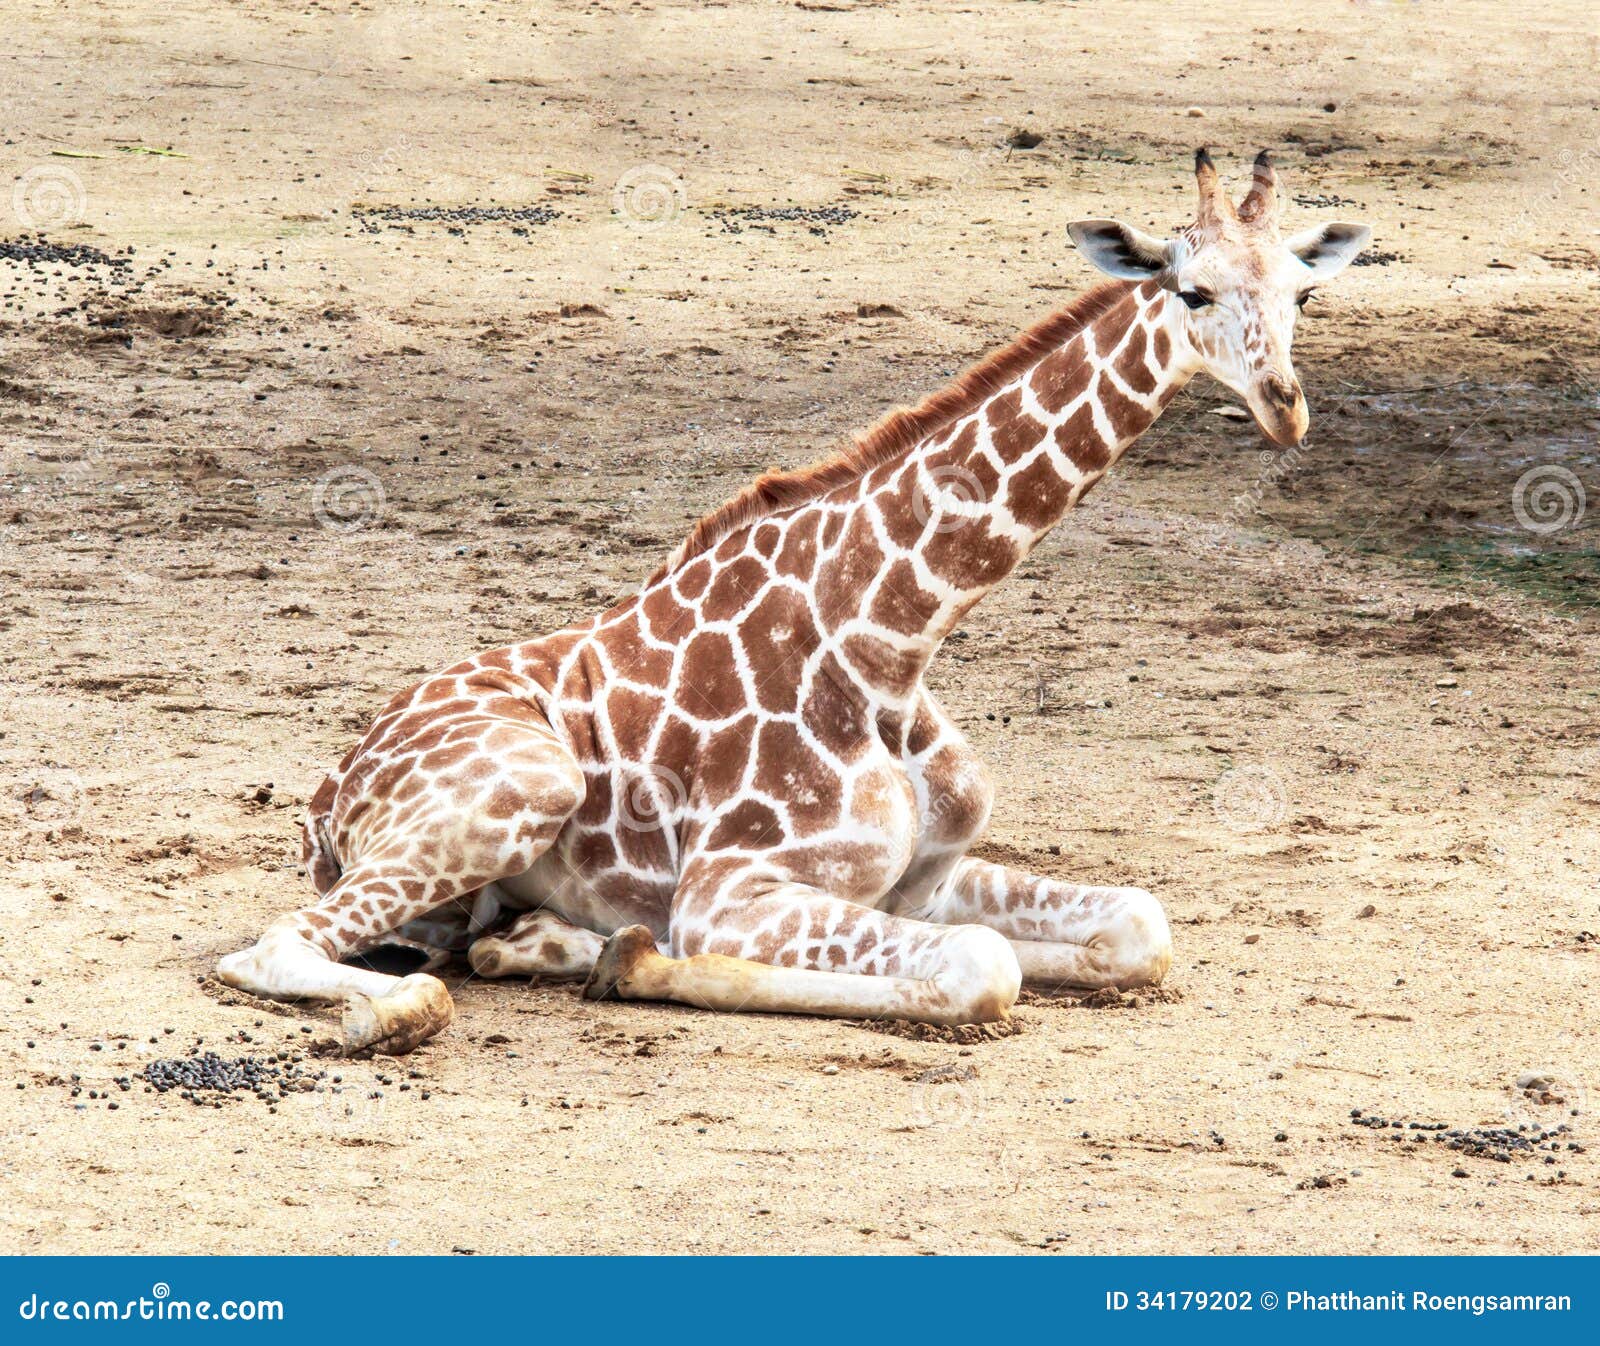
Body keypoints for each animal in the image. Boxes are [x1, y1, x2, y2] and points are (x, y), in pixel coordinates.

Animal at [217, 150, 1369, 1053]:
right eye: (1191, 292)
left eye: (1303, 295)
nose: (1284, 408)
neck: (895, 638)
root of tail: (328, 788)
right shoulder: (732, 891)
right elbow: (981, 966)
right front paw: (642, 961)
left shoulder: (921, 876)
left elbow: (1136, 925)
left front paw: (603, 951)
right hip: (527, 781)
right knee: (276, 950)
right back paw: (424, 999)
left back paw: (547, 941)